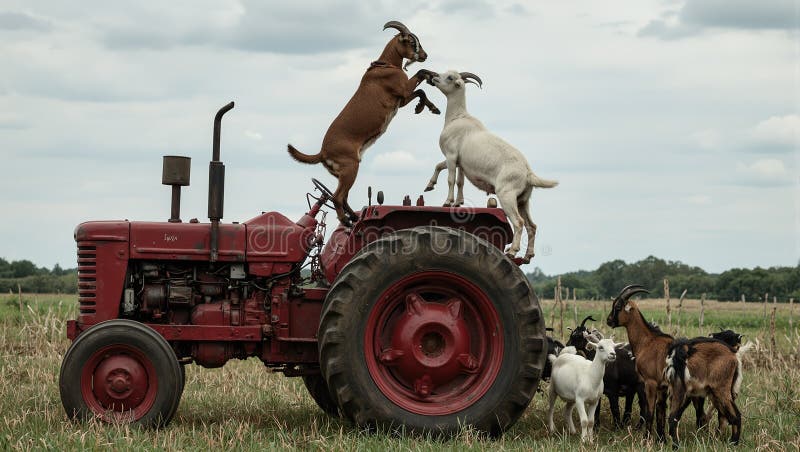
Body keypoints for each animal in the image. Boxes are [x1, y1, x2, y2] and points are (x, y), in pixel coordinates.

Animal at [288, 21, 439, 226]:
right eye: (410, 41)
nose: (424, 55)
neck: (385, 65)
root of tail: (322, 152)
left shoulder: (402, 99)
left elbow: (420, 89)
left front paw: (427, 105)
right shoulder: (403, 89)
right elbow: (421, 77)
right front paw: (427, 105)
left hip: (343, 175)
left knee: (342, 197)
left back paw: (353, 217)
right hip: (351, 168)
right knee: (337, 197)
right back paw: (346, 221)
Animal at [424, 70, 557, 262]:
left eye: (450, 78)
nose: (433, 77)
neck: (457, 117)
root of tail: (528, 173)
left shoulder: (451, 156)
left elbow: (450, 179)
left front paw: (447, 202)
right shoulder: (460, 163)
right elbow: (454, 178)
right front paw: (444, 194)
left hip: (506, 195)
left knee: (519, 223)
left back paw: (512, 251)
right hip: (523, 200)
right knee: (532, 225)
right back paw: (527, 255)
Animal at [606, 284, 674, 442]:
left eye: (618, 306)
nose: (609, 320)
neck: (648, 340)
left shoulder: (650, 382)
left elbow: (650, 411)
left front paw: (646, 439)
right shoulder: (662, 387)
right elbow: (661, 411)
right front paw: (661, 439)